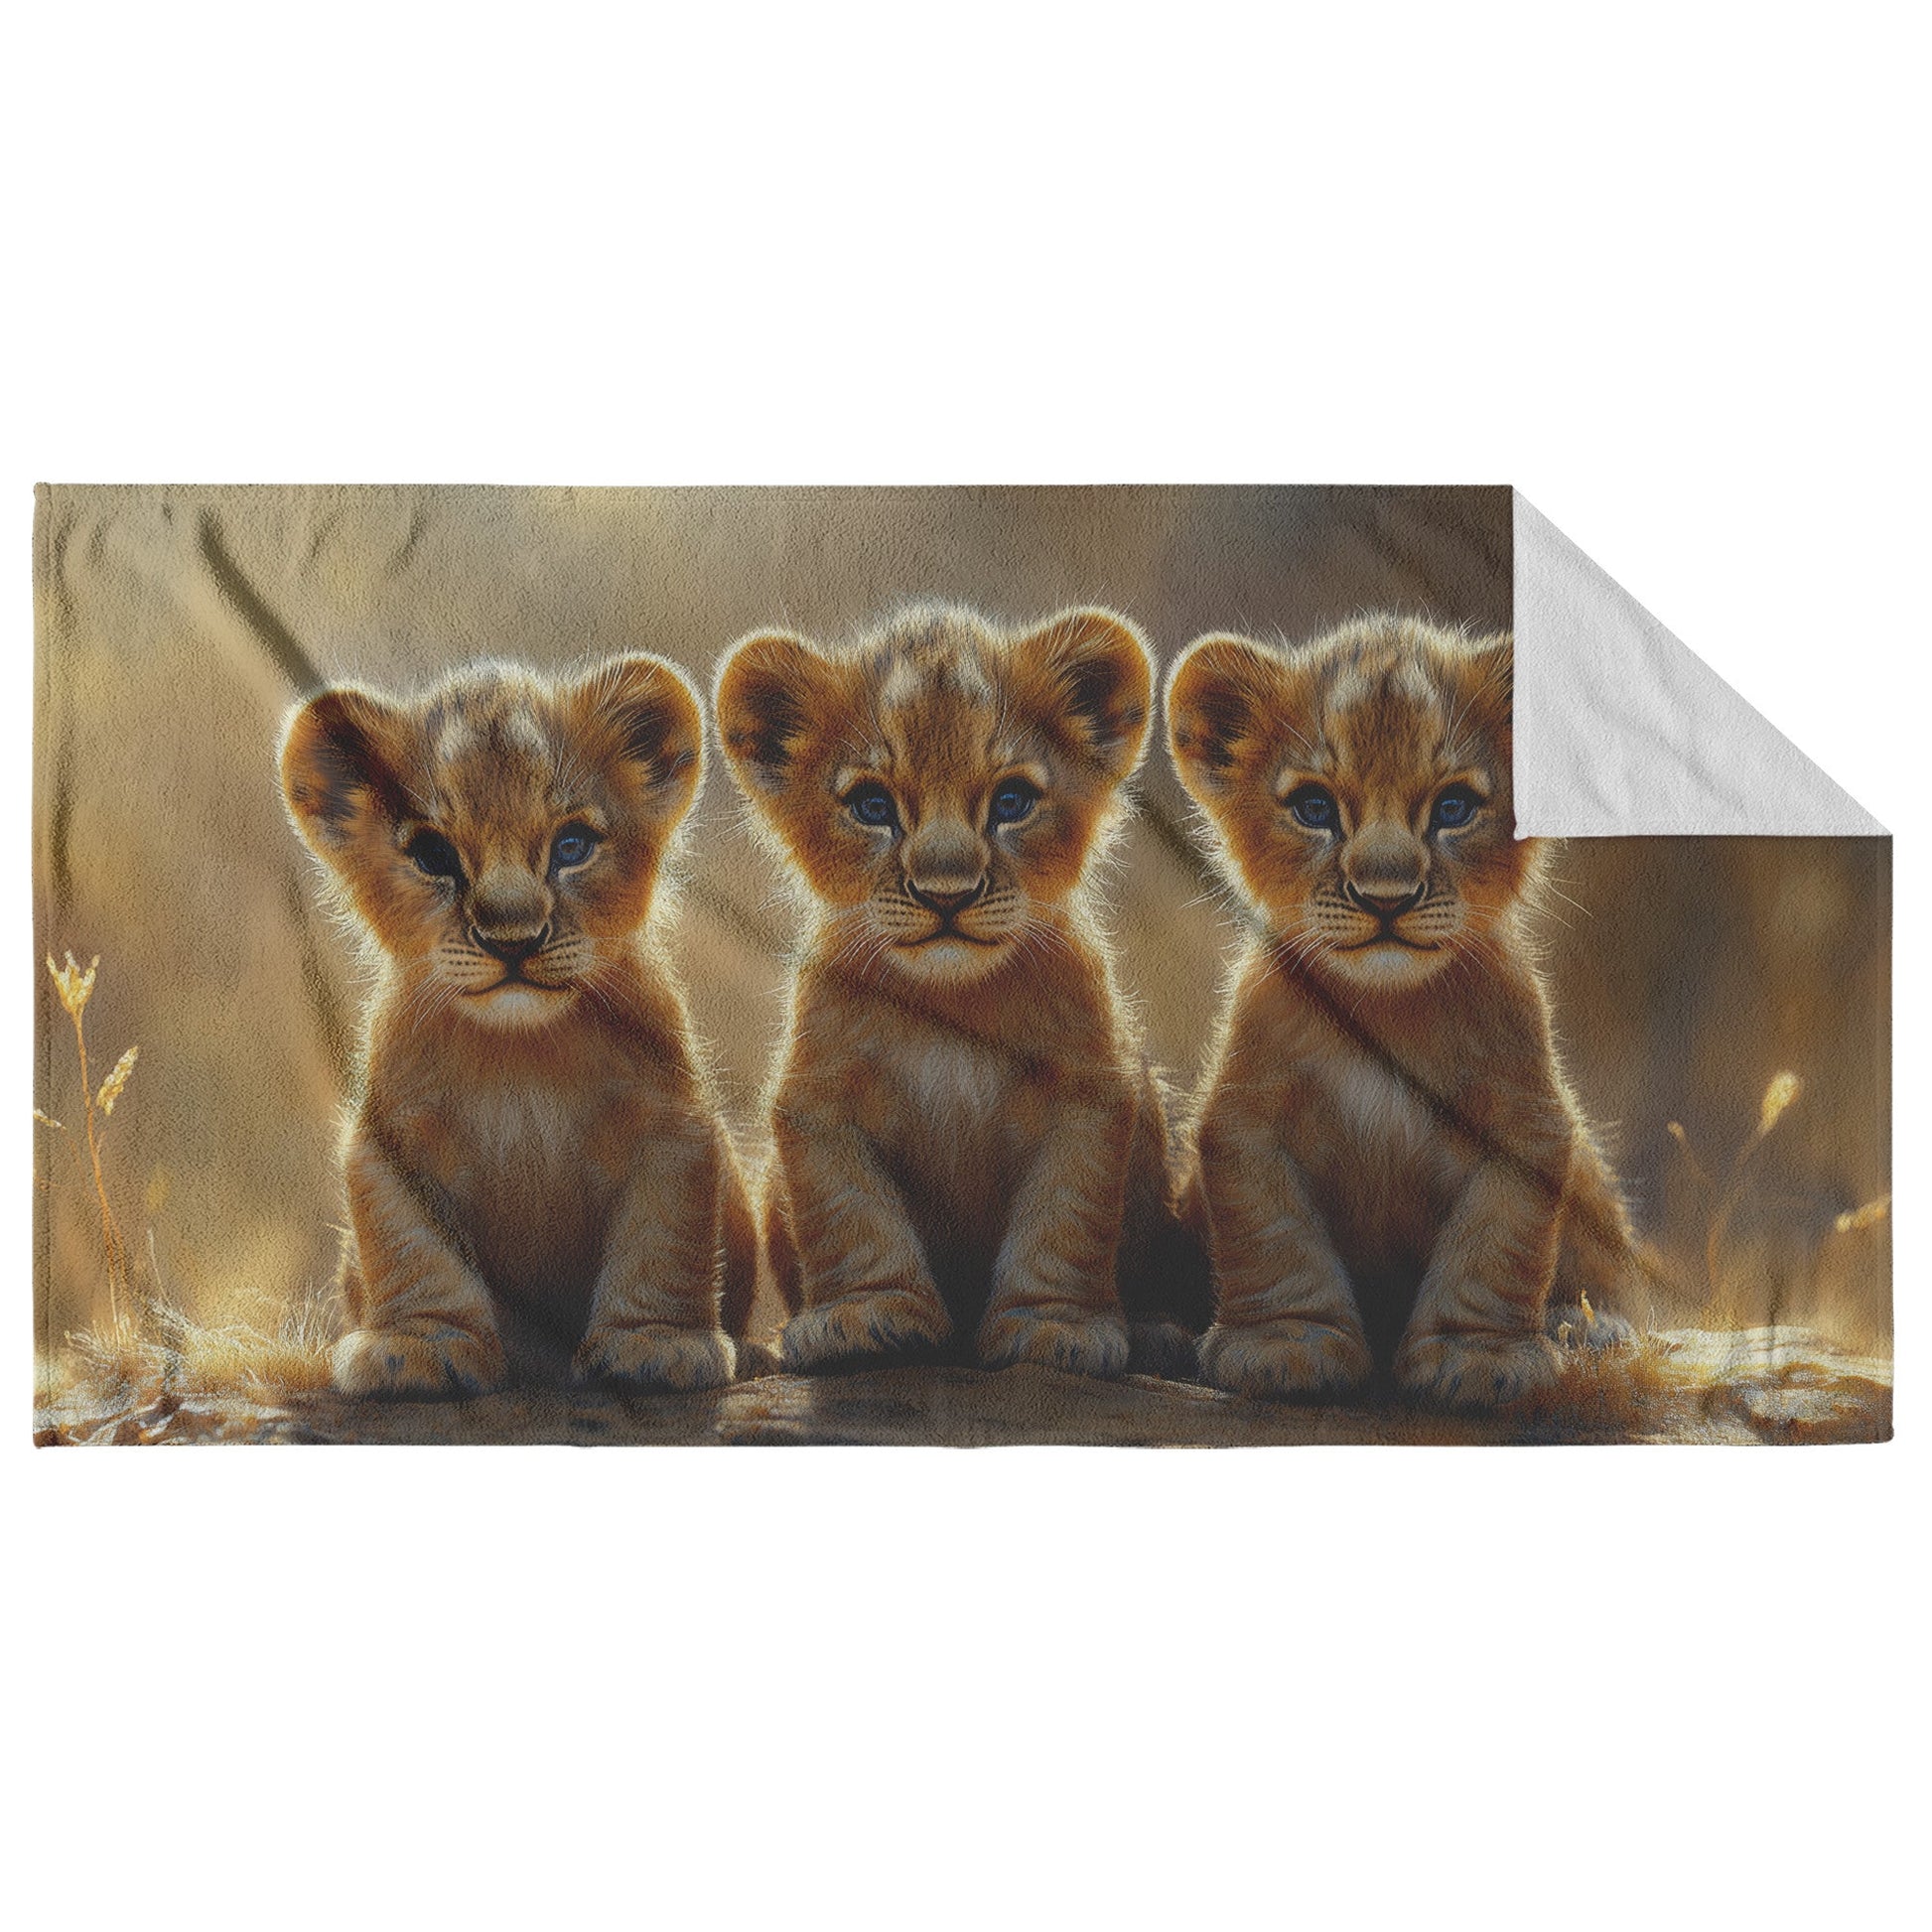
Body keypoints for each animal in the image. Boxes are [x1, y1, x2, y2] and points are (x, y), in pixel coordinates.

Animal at [280, 654, 756, 1397]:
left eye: (572, 845)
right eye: (433, 855)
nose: (513, 938)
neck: (521, 1054)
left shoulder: (671, 1124)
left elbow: (662, 1242)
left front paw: (655, 1344)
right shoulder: (389, 1140)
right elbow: (414, 1249)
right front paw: (417, 1345)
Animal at [714, 602, 1209, 1380]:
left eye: (1012, 800)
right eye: (872, 805)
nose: (946, 893)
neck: (953, 1001)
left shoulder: (1089, 1092)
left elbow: (1064, 1223)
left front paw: (1050, 1328)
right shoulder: (819, 1104)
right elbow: (853, 1220)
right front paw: (865, 1318)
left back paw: (1157, 1334)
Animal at [1164, 614, 1641, 1407]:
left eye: (1453, 808)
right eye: (1314, 808)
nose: (1385, 897)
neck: (1387, 1011)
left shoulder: (1528, 1124)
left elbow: (1493, 1250)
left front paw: (1479, 1358)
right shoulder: (1246, 1121)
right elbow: (1276, 1241)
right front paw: (1287, 1346)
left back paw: (1594, 1327)